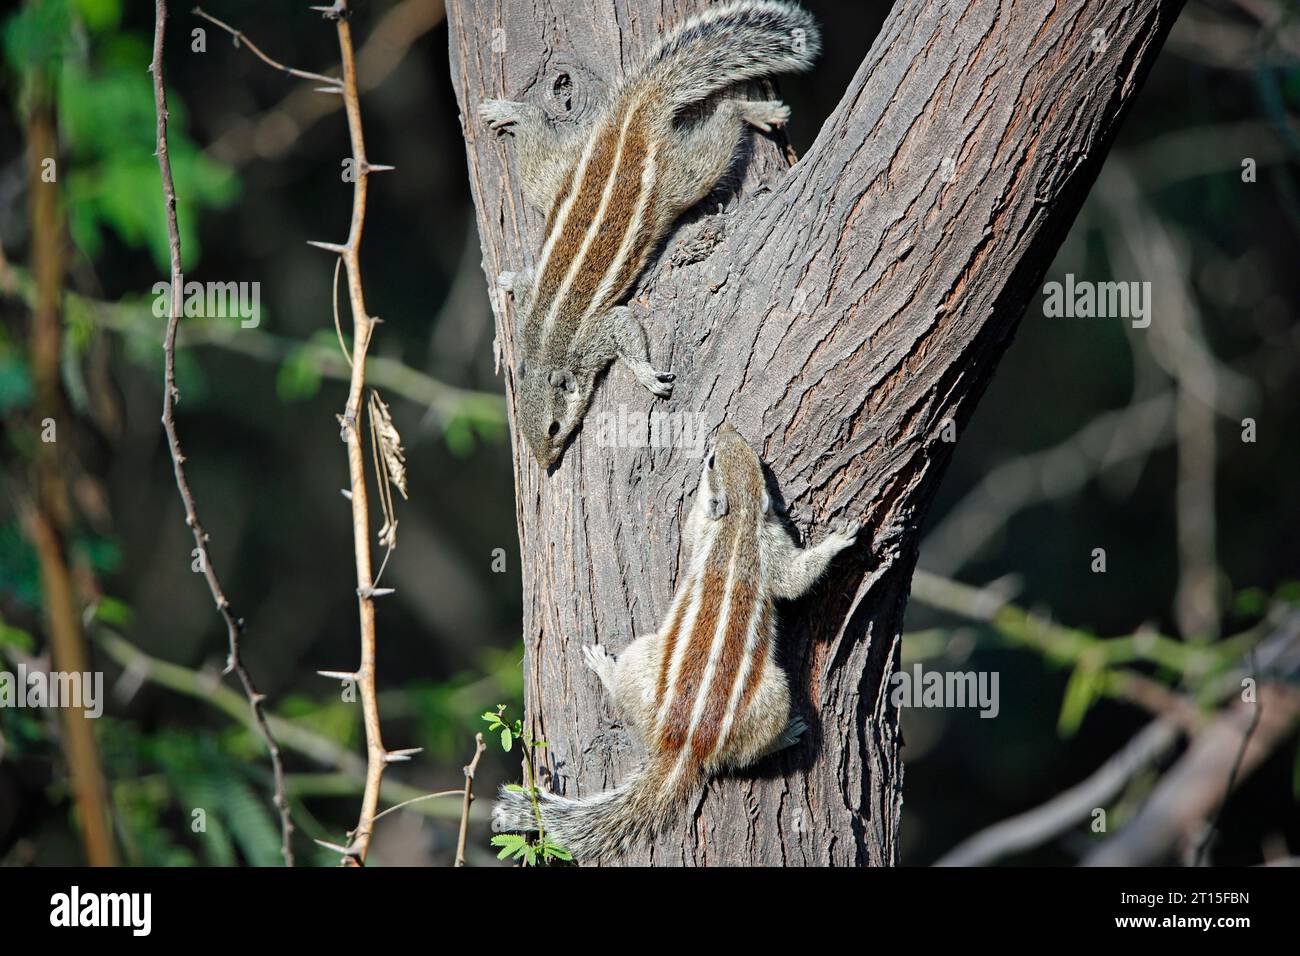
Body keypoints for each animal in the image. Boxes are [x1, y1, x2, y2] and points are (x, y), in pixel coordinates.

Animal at [479, 1, 822, 467]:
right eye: (525, 431)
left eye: (553, 427)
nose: (547, 465)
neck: (545, 345)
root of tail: (630, 118)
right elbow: (531, 281)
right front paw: (512, 279)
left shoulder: (600, 332)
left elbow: (626, 331)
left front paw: (646, 375)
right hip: (552, 175)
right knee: (534, 129)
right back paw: (508, 111)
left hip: (683, 176)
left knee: (726, 118)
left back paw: (758, 112)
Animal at [492, 422, 859, 859]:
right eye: (717, 458)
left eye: (742, 457)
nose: (726, 428)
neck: (739, 521)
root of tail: (683, 743)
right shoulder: (755, 544)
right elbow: (791, 578)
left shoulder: (766, 549)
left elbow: (795, 578)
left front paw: (837, 539)